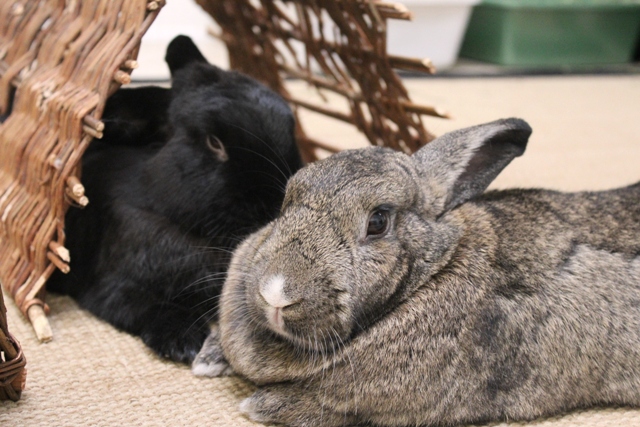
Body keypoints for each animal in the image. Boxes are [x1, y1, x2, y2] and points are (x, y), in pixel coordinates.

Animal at [47, 35, 303, 363]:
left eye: (289, 127)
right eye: (214, 142)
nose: (272, 205)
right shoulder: (110, 286)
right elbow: (145, 306)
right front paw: (184, 343)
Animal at [192, 118, 640, 427]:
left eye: (378, 222)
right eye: (288, 198)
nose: (275, 293)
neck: (435, 268)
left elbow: (328, 405)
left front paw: (261, 406)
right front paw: (207, 361)